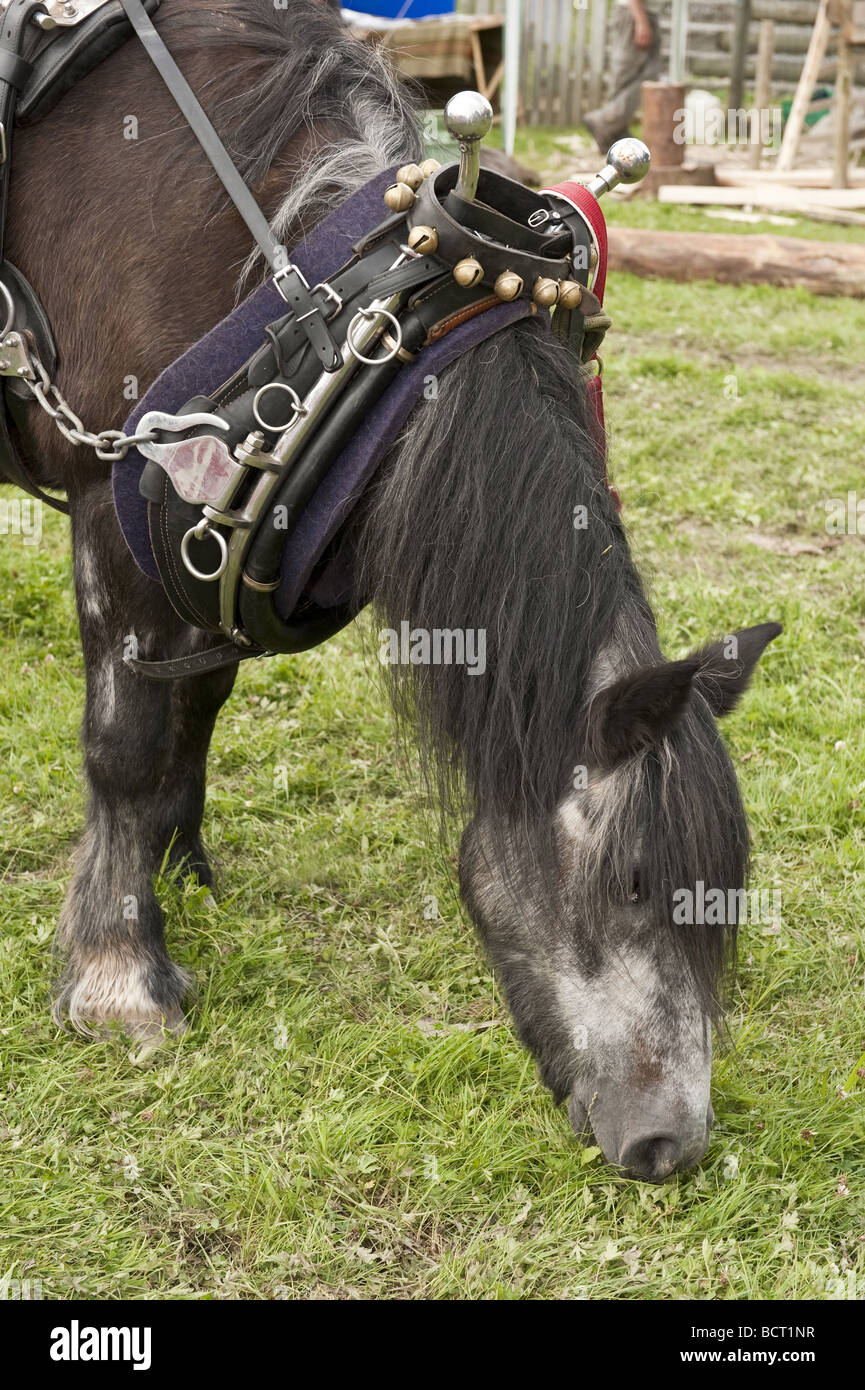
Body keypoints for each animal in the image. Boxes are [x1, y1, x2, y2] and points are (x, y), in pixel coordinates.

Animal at [3, 0, 780, 1181]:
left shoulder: (210, 538)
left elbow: (198, 699)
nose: (670, 1146)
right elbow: (126, 747)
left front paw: (177, 865)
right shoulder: (112, 508)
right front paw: (119, 975)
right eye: (634, 883)